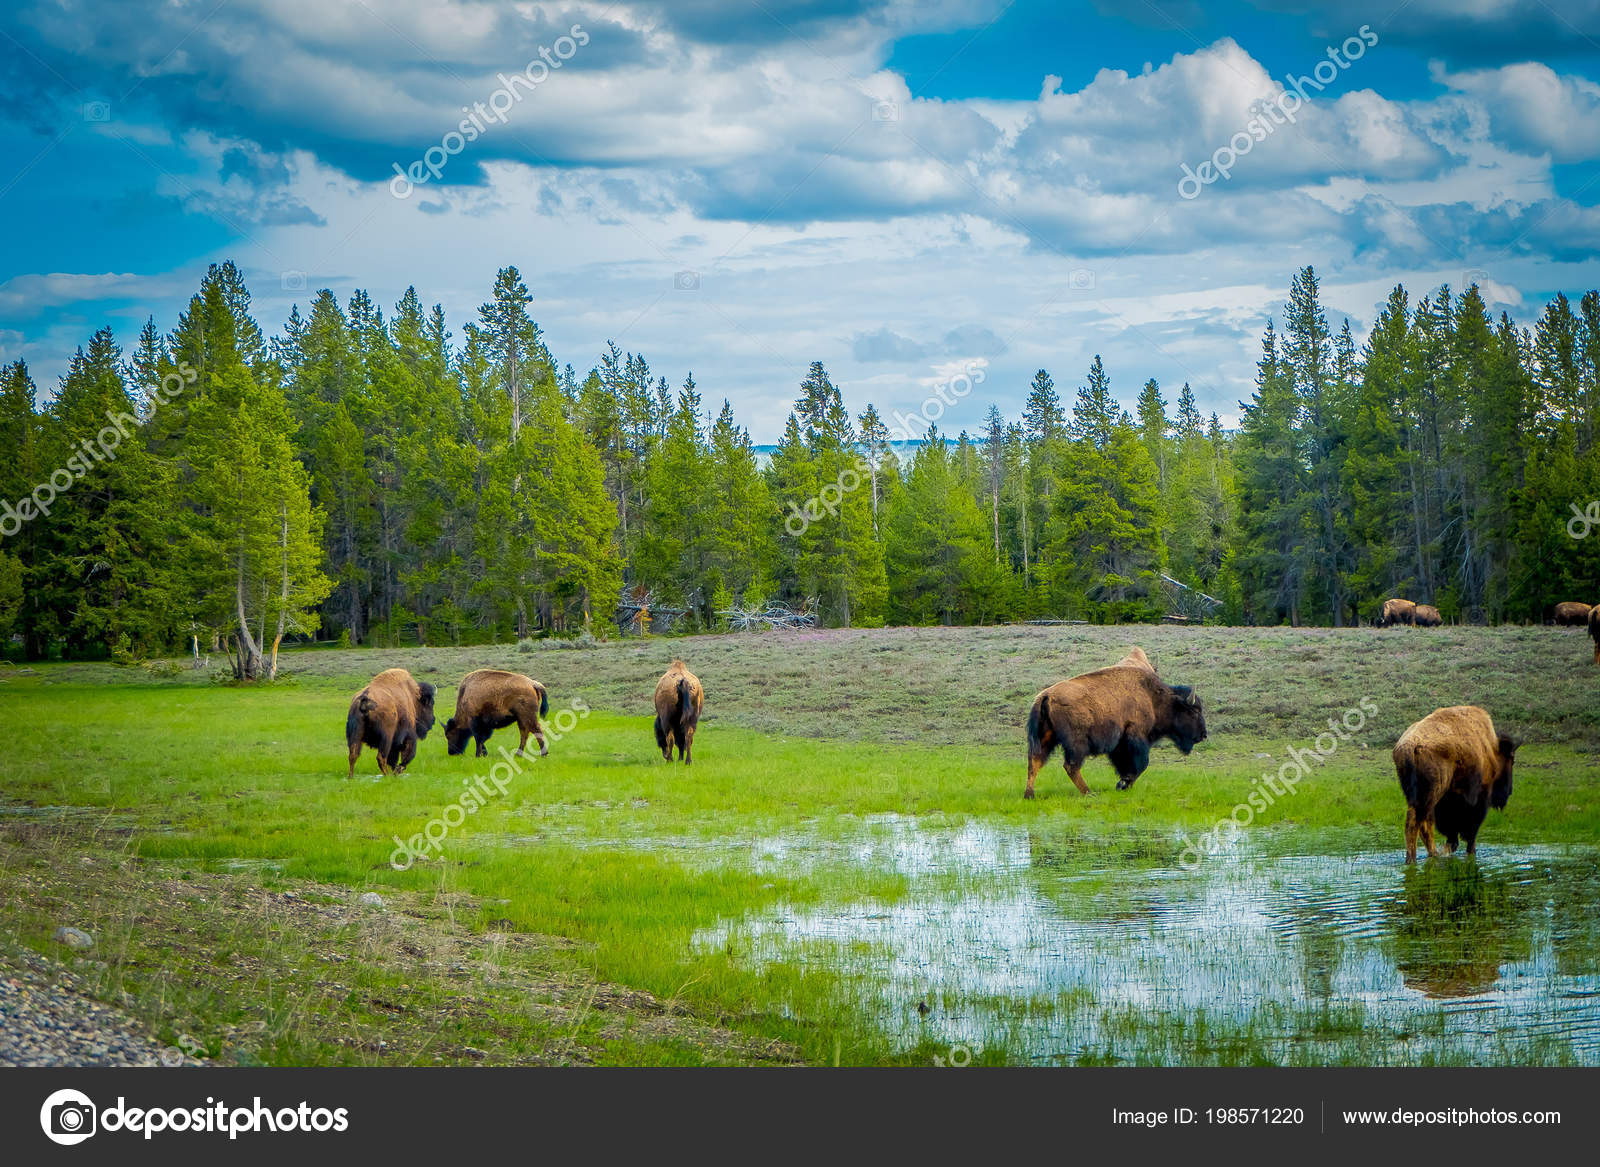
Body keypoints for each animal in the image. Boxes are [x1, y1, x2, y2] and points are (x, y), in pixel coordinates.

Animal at [1023, 647, 1207, 798]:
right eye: (1194, 711)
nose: (1203, 735)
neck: (1152, 696)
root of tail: (1046, 696)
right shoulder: (1136, 735)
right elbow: (1141, 763)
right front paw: (1123, 783)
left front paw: (1124, 784)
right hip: (1076, 743)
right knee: (1071, 766)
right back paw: (1089, 793)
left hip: (1046, 738)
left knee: (1035, 762)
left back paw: (1030, 795)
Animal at [1392, 705, 1517, 862]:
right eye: (1511, 761)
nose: (1509, 791)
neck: (1490, 748)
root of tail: (1409, 745)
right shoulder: (1478, 799)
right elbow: (1471, 830)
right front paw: (1470, 852)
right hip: (1430, 796)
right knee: (1416, 824)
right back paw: (1414, 859)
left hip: (1422, 797)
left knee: (1422, 825)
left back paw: (1431, 855)